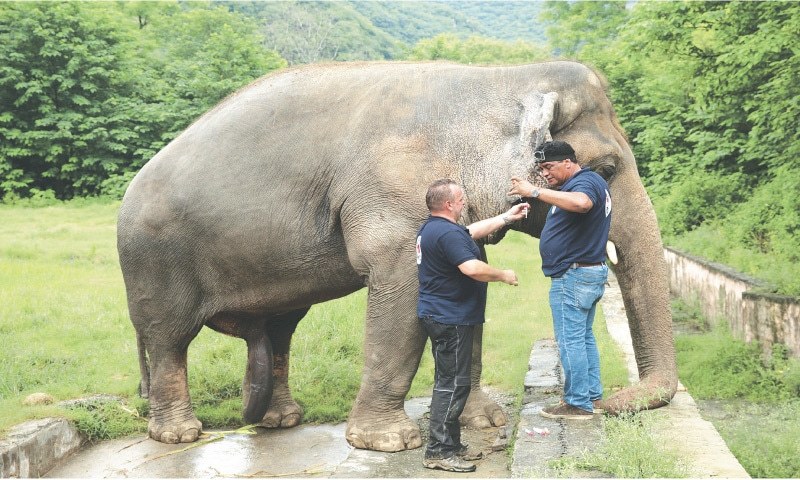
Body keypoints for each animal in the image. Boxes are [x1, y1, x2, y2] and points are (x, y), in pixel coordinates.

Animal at [117, 60, 678, 449]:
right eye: (605, 170)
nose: (616, 402)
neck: (497, 79)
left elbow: (469, 293)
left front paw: (484, 421)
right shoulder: (394, 195)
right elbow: (403, 290)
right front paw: (388, 443)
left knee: (279, 331)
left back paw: (281, 420)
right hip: (152, 259)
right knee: (169, 338)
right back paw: (179, 435)